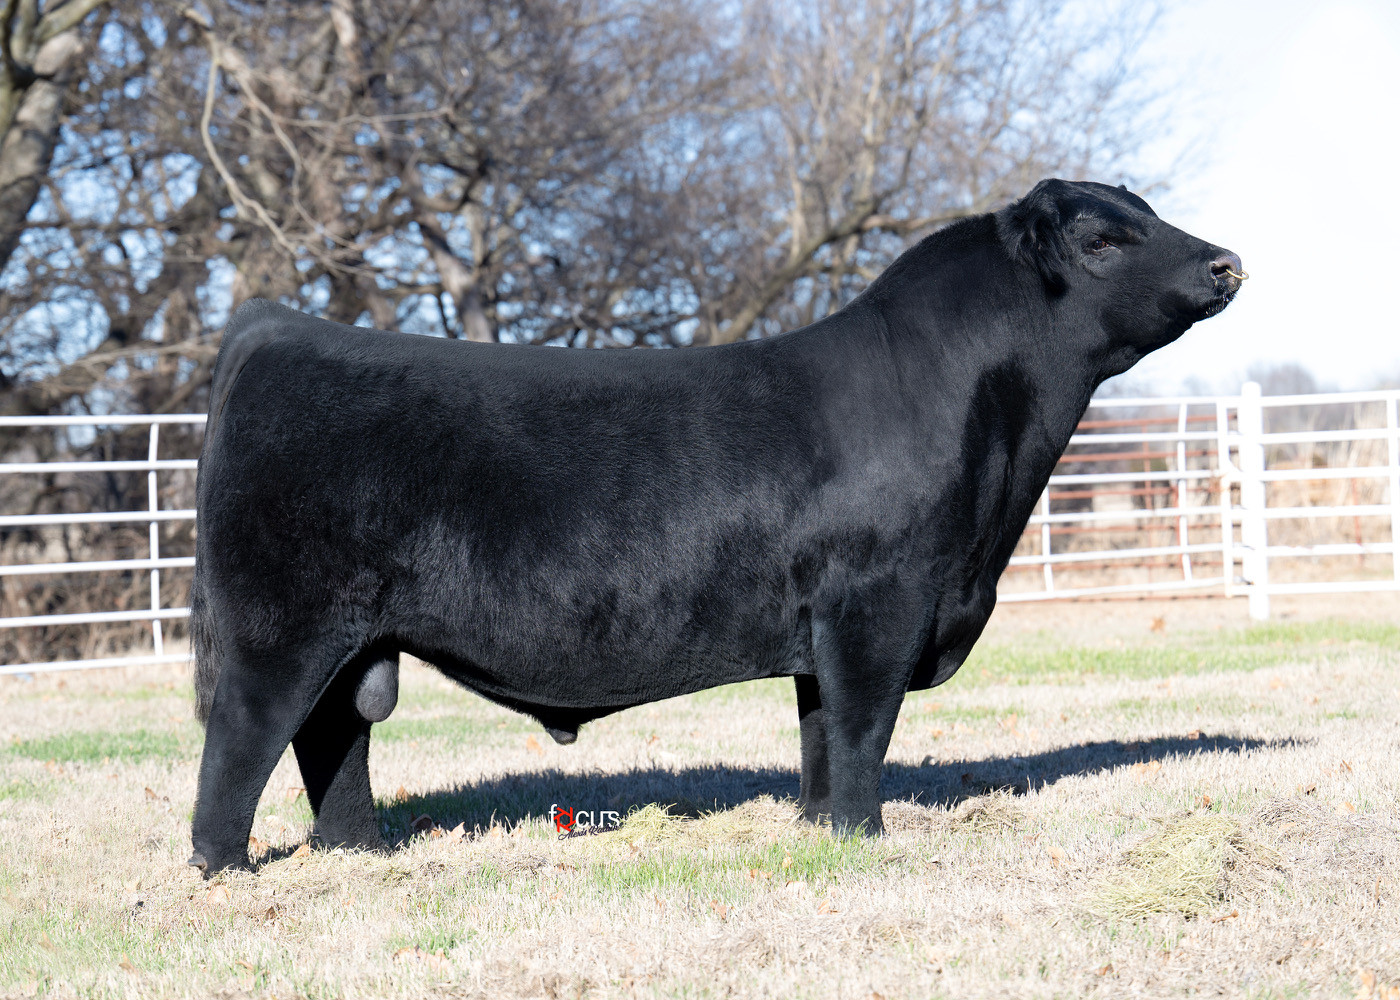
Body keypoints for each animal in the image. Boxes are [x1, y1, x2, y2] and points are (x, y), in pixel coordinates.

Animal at [186, 179, 1245, 875]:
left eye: (1150, 212)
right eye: (1103, 240)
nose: (1226, 260)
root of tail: (279, 327)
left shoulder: (825, 625)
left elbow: (821, 734)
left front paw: (820, 829)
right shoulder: (878, 603)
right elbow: (865, 727)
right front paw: (867, 837)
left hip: (351, 637)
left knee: (334, 737)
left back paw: (357, 852)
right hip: (280, 627)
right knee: (245, 735)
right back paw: (224, 867)